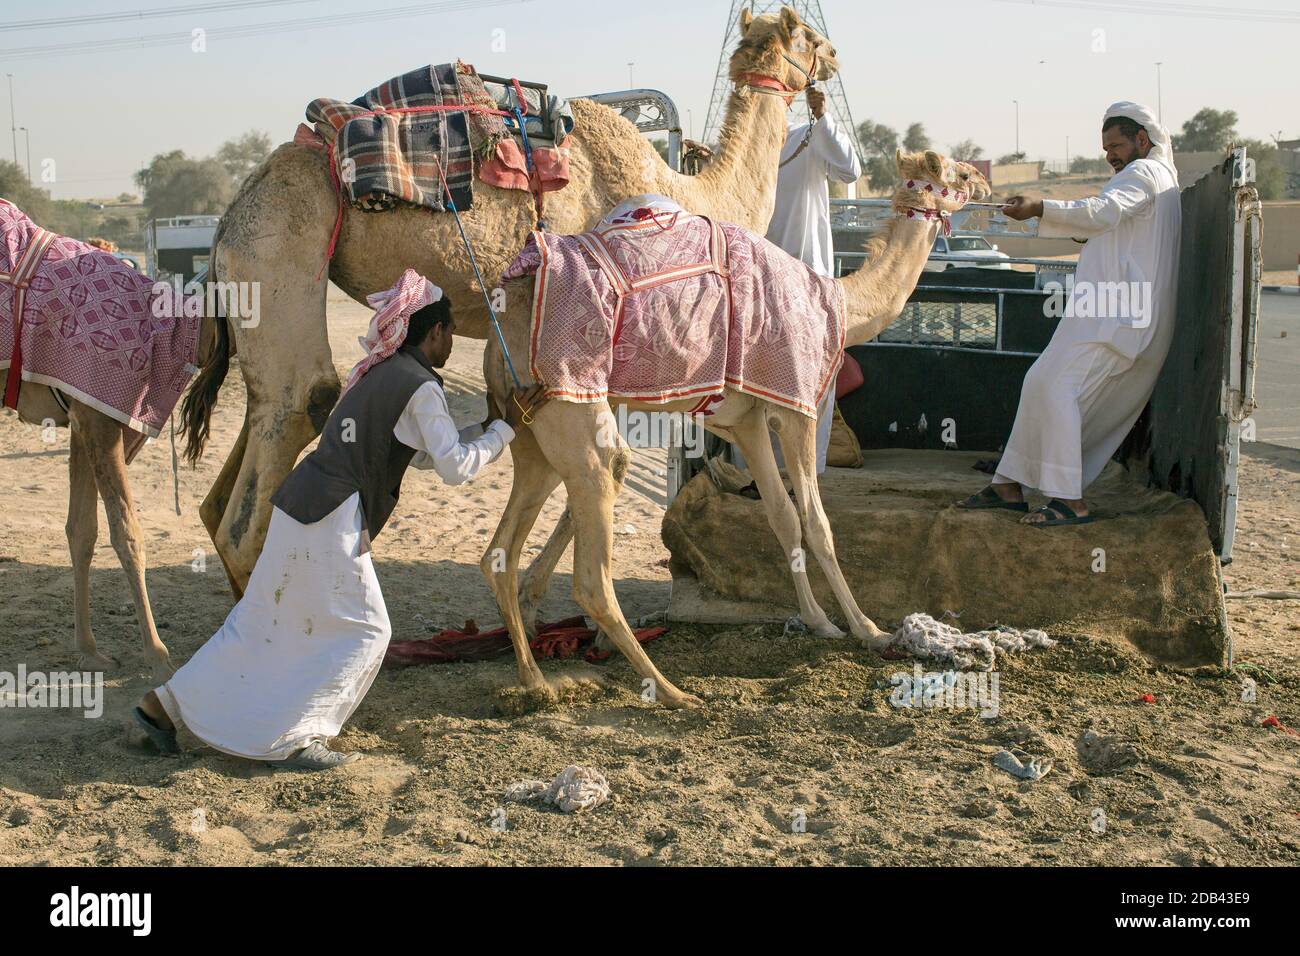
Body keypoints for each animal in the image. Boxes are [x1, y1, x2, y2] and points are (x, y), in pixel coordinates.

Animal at [185, 5, 841, 596]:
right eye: (807, 34)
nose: (834, 55)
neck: (680, 190)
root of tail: (228, 219)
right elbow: (608, 460)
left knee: (232, 479)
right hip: (283, 249)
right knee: (294, 421)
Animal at [479, 150, 991, 708]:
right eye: (961, 173)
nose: (988, 186)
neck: (838, 305)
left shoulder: (745, 421)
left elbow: (782, 516)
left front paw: (817, 621)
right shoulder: (797, 408)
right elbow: (817, 522)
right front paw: (867, 629)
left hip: (535, 430)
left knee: (500, 553)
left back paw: (535, 681)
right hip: (575, 406)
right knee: (594, 563)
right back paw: (671, 691)